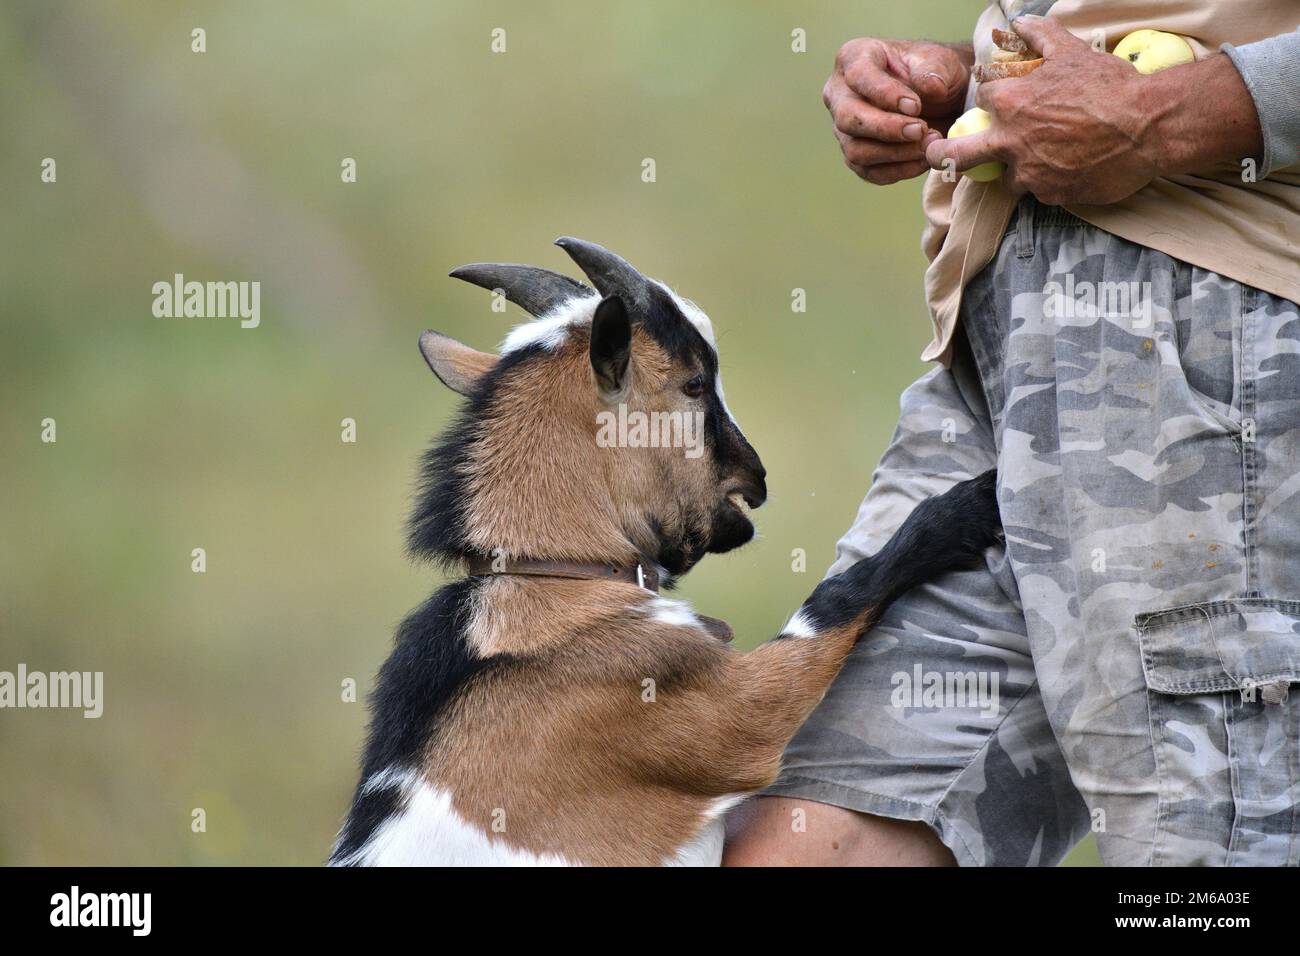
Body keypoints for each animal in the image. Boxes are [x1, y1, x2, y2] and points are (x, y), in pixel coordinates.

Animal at [329, 238, 1000, 866]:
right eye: (696, 382)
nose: (755, 479)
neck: (551, 577)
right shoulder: (730, 713)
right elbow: (833, 601)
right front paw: (968, 508)